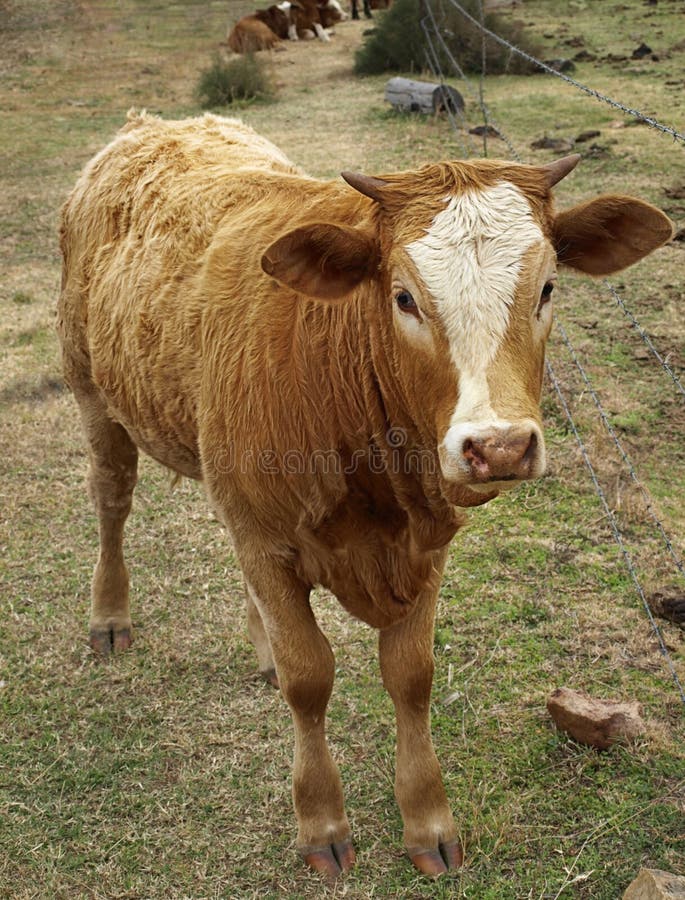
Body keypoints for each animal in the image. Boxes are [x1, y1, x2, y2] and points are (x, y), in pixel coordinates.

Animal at [57, 111, 672, 880]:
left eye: (548, 288)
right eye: (403, 296)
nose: (498, 445)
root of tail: (154, 126)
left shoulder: (422, 545)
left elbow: (410, 675)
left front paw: (427, 820)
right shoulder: (268, 537)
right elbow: (309, 675)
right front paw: (320, 821)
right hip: (92, 392)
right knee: (112, 502)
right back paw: (109, 617)